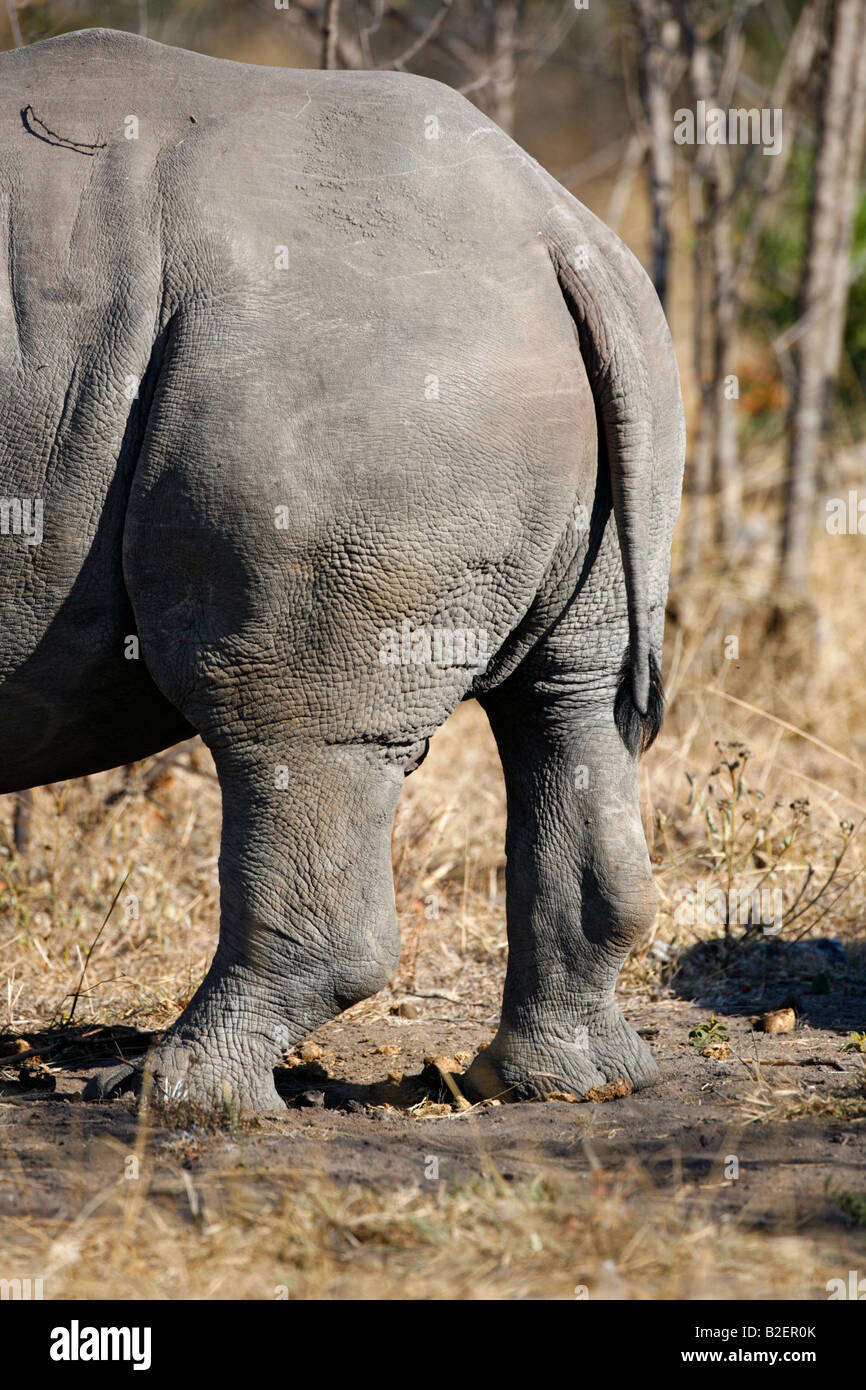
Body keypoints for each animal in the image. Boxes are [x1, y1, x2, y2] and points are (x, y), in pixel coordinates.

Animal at [0, 28, 684, 1112]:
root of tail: (559, 230)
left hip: (352, 373)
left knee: (288, 721)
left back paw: (164, 1100)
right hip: (554, 366)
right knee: (569, 703)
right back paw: (563, 1086)